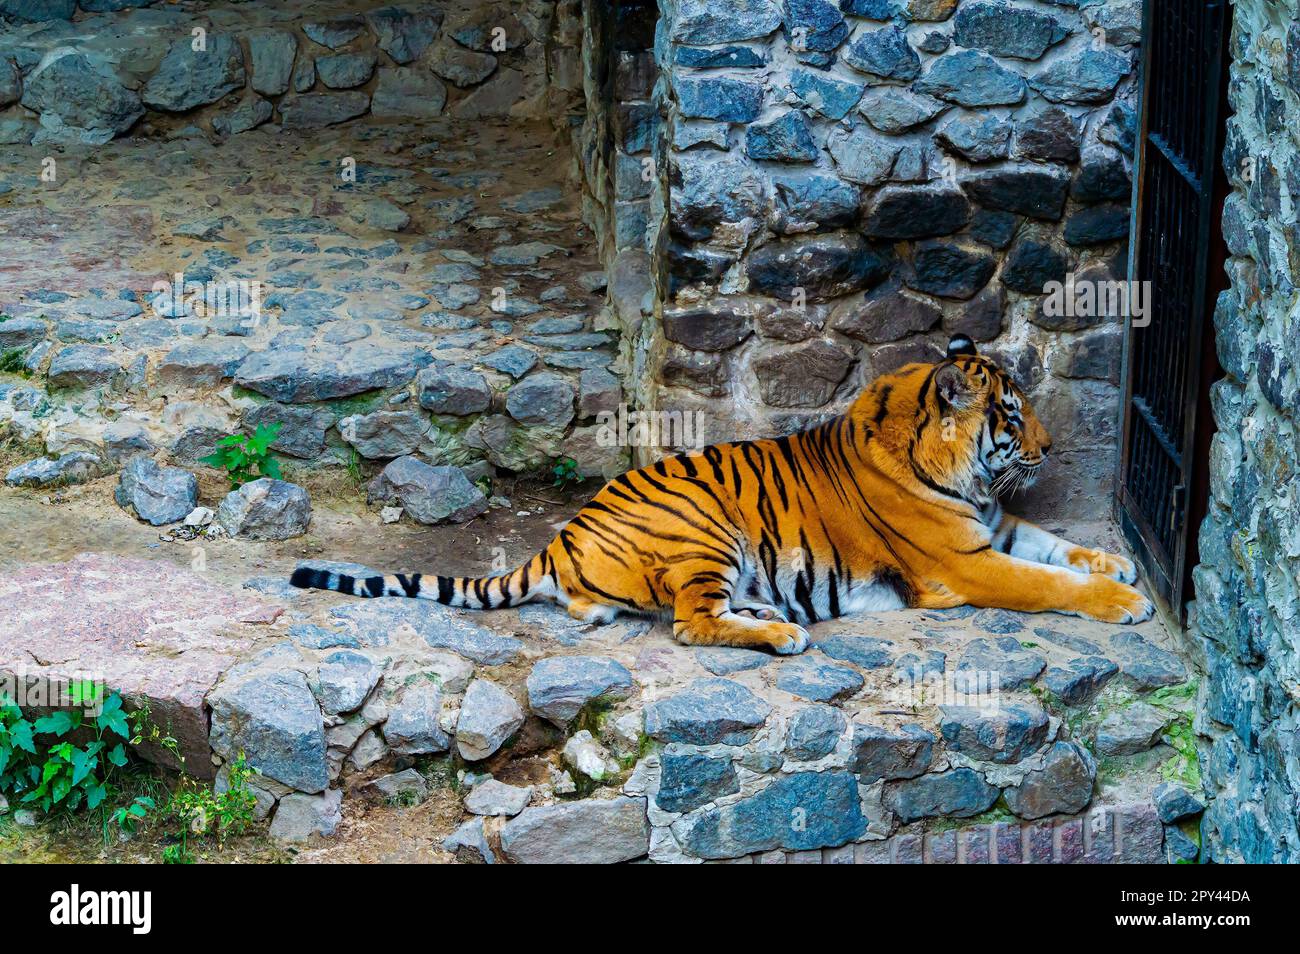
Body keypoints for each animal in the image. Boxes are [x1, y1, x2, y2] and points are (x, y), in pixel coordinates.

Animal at [291, 334, 1154, 654]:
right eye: (1011, 412)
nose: (1051, 448)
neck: (961, 479)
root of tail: (563, 536)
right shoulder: (966, 562)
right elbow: (1045, 582)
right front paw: (1126, 601)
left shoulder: (993, 527)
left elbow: (1059, 548)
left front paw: (1116, 563)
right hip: (705, 531)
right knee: (689, 625)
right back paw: (782, 635)